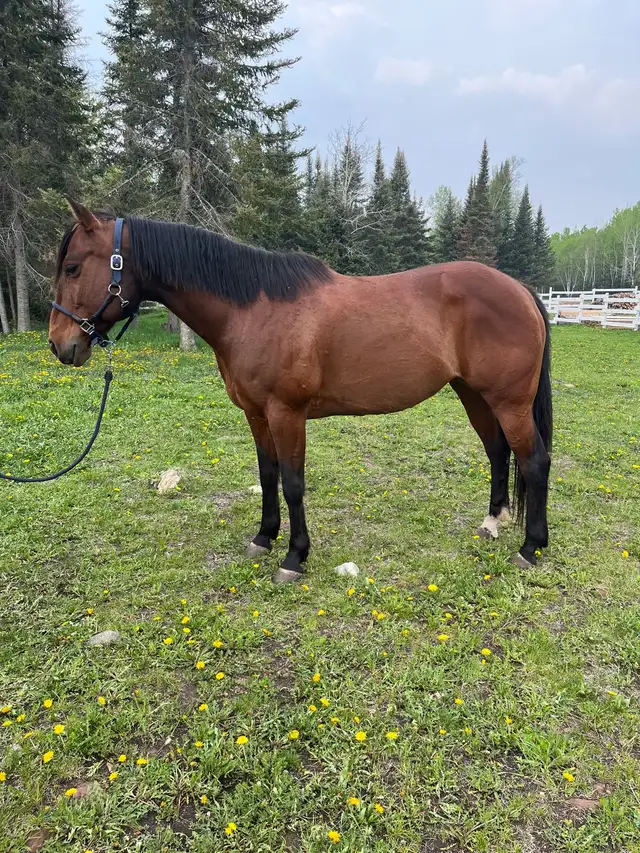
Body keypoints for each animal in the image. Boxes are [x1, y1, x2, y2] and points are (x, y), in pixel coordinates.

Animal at [49, 200, 552, 584]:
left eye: (72, 267)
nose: (60, 344)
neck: (253, 310)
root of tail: (520, 289)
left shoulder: (286, 413)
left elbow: (292, 483)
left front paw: (294, 557)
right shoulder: (255, 414)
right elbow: (268, 474)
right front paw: (263, 538)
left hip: (509, 402)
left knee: (534, 460)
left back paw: (531, 548)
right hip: (474, 395)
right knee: (497, 452)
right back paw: (492, 523)